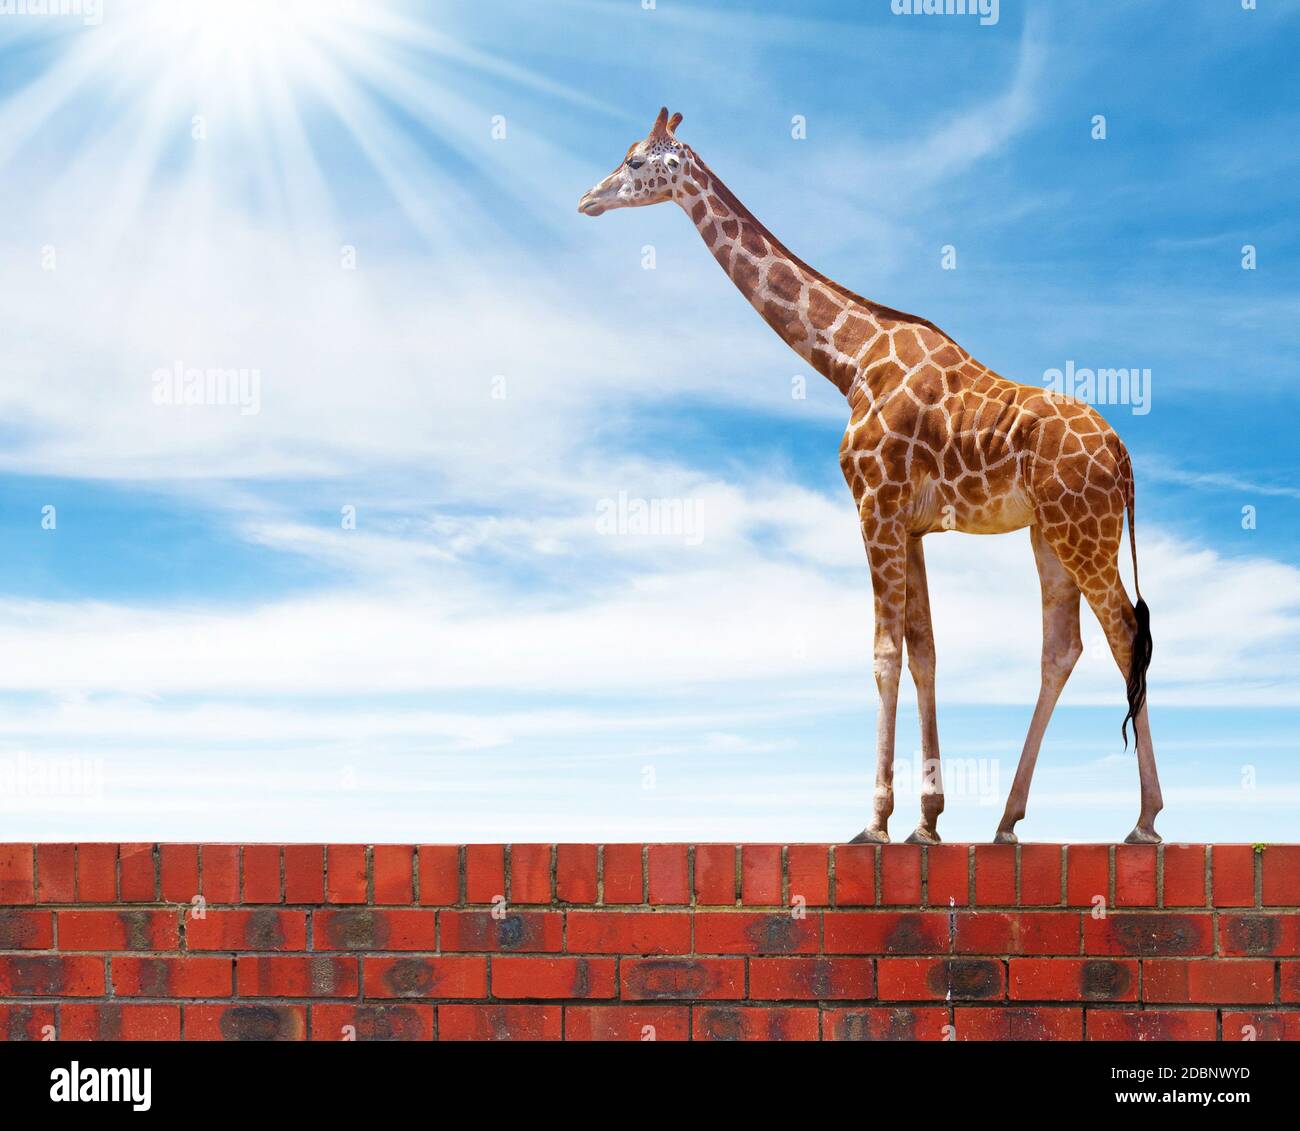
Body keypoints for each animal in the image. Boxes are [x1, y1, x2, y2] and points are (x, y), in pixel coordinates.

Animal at [579, 109, 1162, 845]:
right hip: (1050, 533)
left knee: (1126, 635)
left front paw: (876, 820)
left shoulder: (874, 504)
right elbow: (925, 650)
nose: (587, 198)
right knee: (1064, 647)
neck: (848, 360)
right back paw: (1007, 820)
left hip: (1085, 529)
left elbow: (885, 652)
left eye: (634, 161)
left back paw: (1145, 820)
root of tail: (1123, 455)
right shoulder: (909, 523)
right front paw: (928, 820)